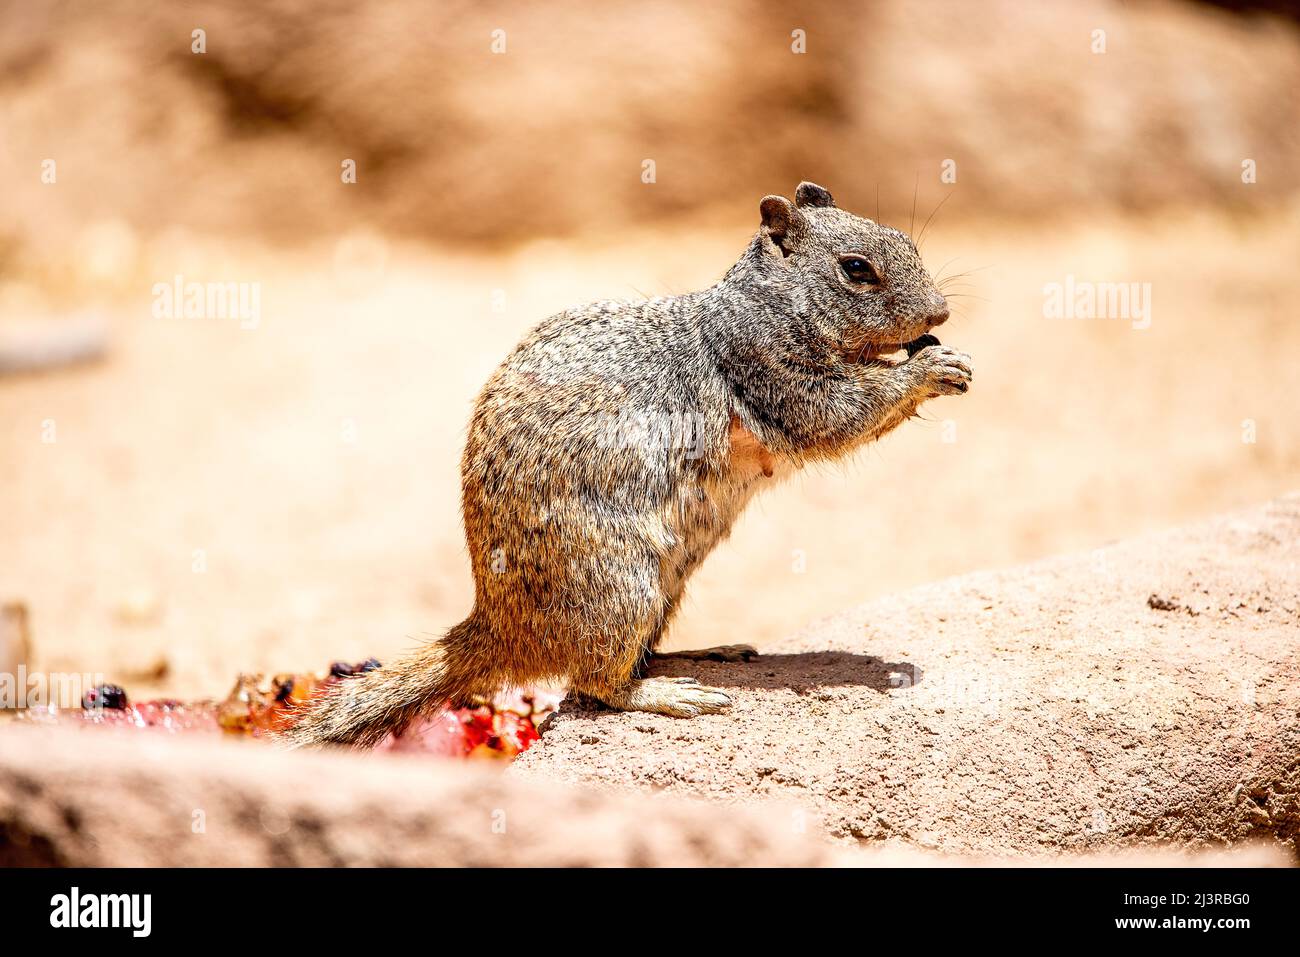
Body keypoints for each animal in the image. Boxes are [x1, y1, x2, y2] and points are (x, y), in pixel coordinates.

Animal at [280, 181, 971, 749]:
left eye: (905, 239)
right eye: (856, 270)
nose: (938, 313)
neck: (759, 306)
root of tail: (499, 626)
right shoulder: (772, 373)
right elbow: (838, 413)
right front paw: (927, 369)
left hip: (666, 586)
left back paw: (704, 654)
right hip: (621, 584)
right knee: (597, 683)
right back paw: (669, 693)